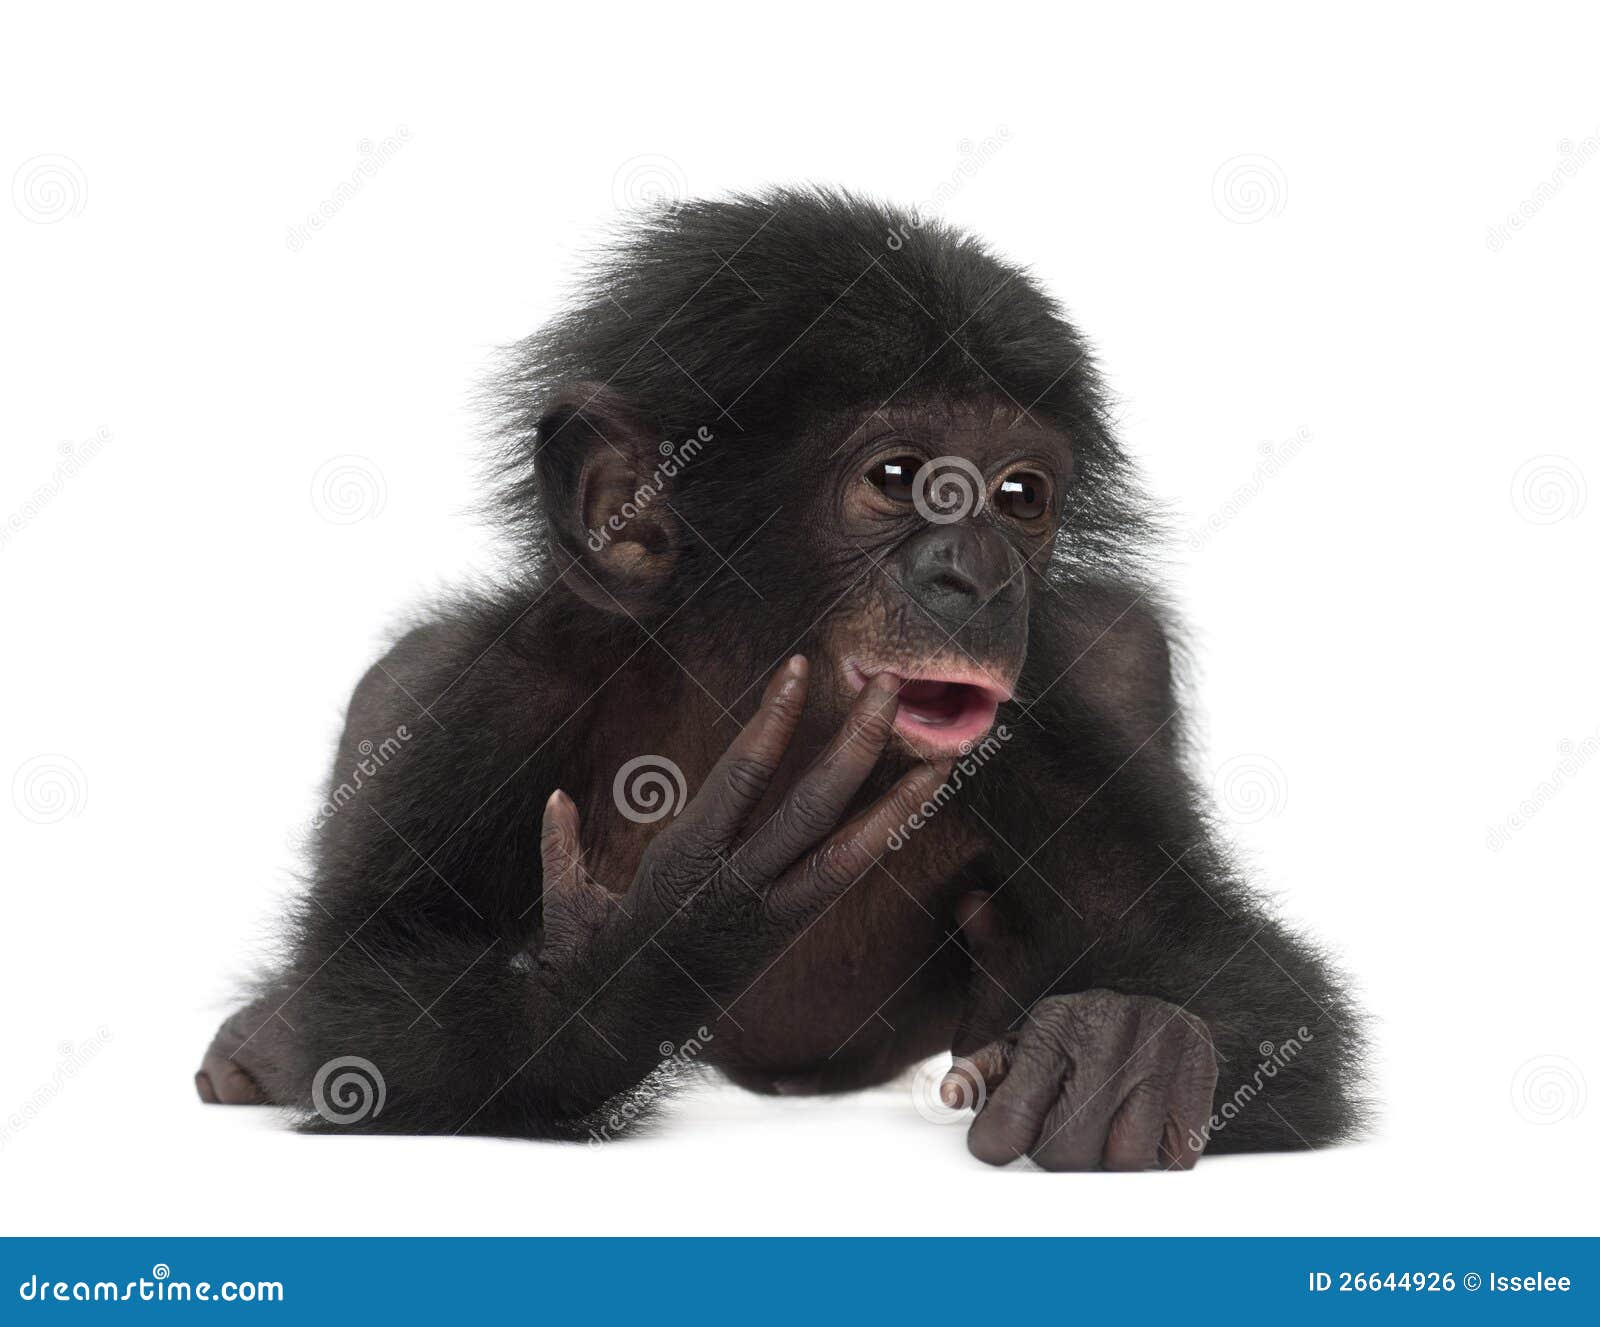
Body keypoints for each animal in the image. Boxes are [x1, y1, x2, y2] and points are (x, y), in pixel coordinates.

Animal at [196, 187, 1366, 1168]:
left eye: (1018, 496)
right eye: (899, 478)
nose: (978, 572)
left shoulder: (1054, 718)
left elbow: (1238, 976)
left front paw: (1131, 1041)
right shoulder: (480, 702)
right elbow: (360, 1012)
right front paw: (679, 930)